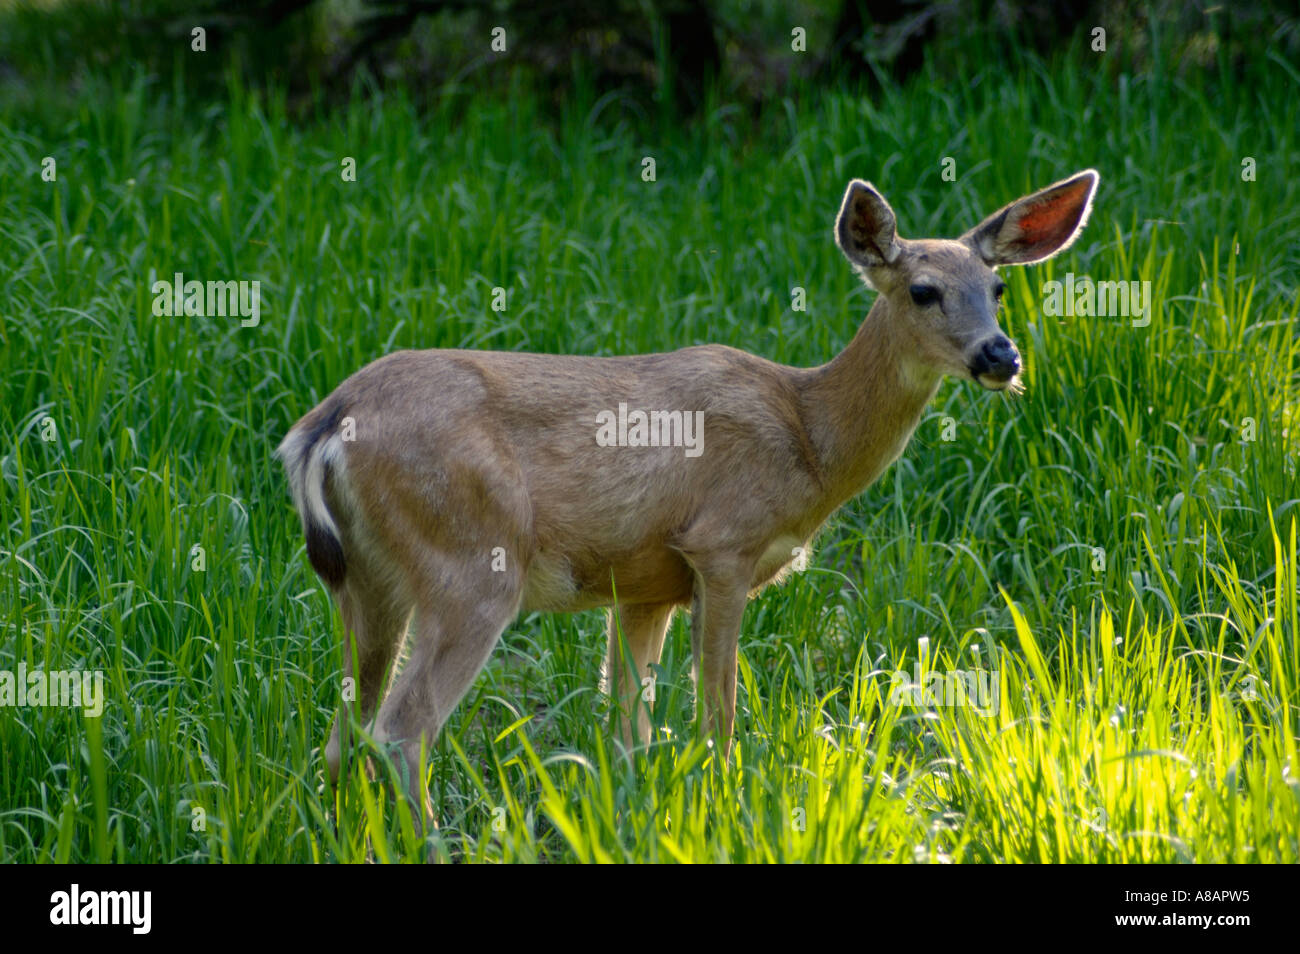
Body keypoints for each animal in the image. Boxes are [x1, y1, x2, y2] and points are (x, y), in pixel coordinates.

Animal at [277, 169, 1099, 821]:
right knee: (400, 731)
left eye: (998, 288)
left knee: (343, 735)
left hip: (370, 581)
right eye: (924, 291)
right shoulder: (722, 545)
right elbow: (717, 720)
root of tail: (323, 426)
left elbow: (628, 735)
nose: (1001, 355)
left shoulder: (643, 584)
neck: (809, 439)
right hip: (473, 563)